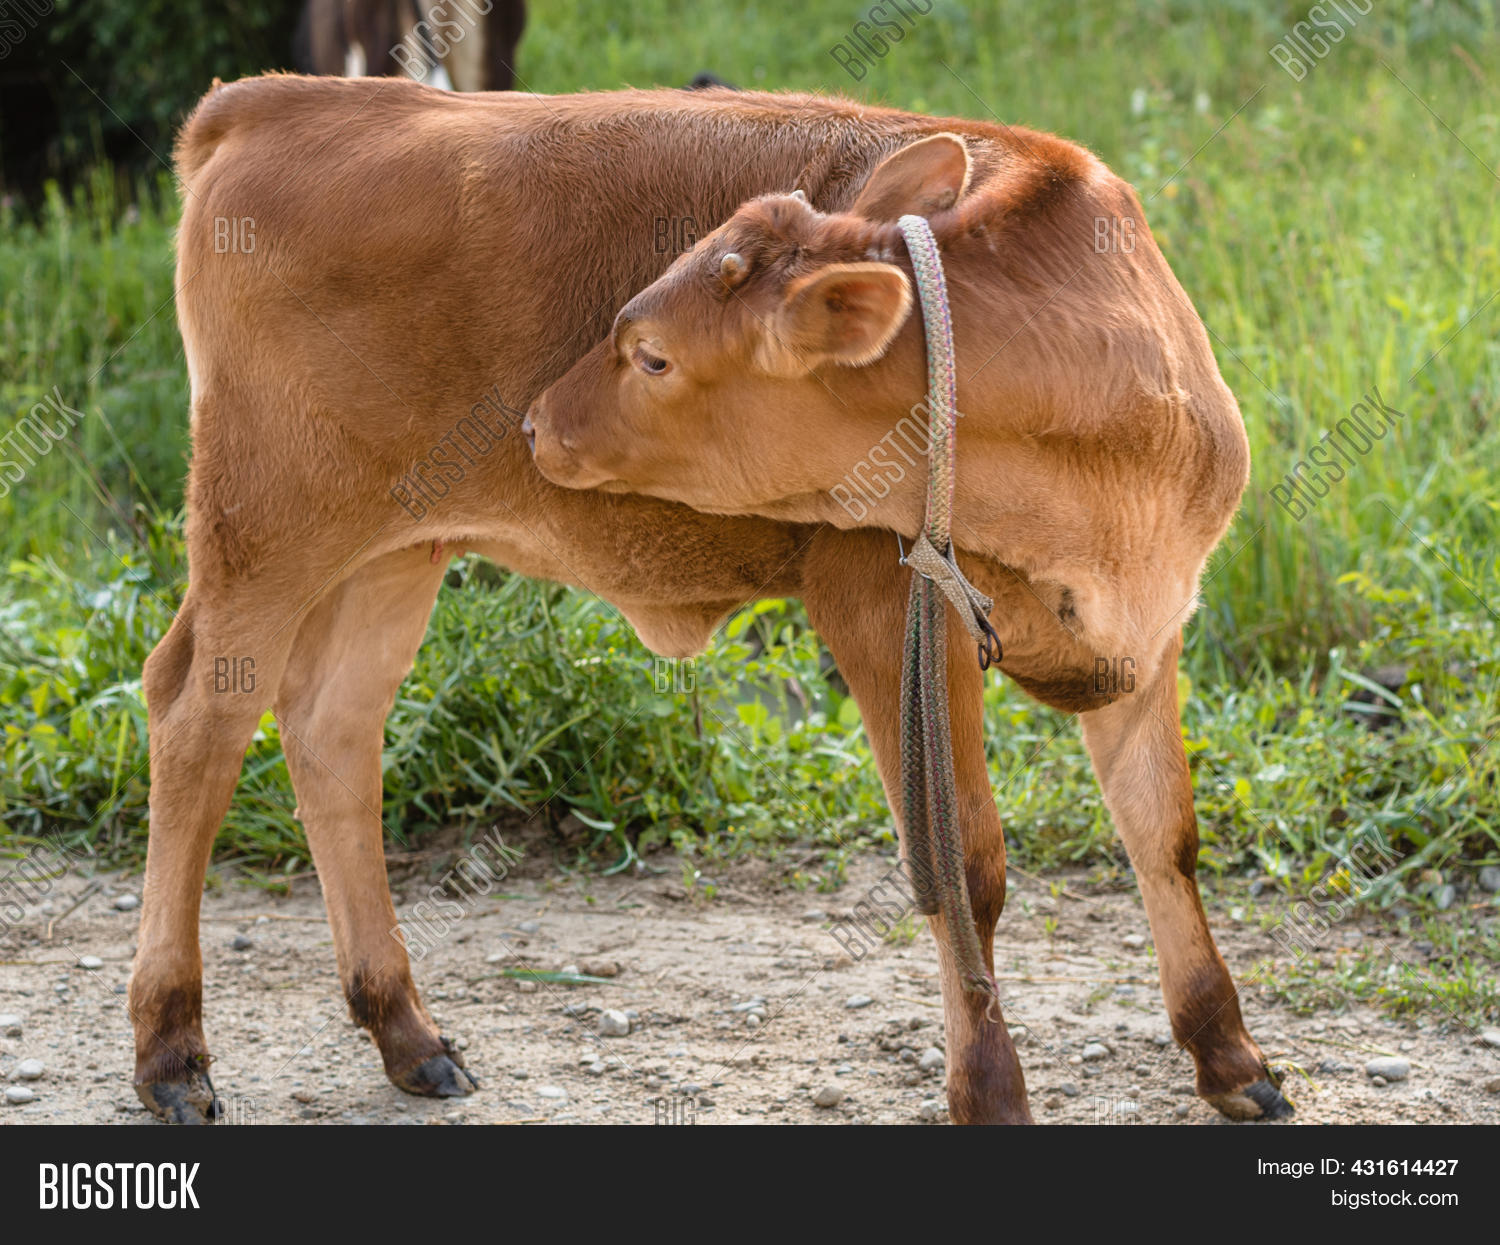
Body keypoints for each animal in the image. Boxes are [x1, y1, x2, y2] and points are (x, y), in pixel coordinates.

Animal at [132, 72, 1289, 1126]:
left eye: (651, 354)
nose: (537, 422)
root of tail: (279, 98)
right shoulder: (881, 602)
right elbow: (961, 863)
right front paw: (991, 1092)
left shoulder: (1151, 620)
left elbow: (1164, 832)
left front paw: (1228, 1055)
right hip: (267, 527)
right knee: (198, 718)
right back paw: (171, 1051)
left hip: (394, 549)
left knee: (334, 730)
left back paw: (405, 1031)